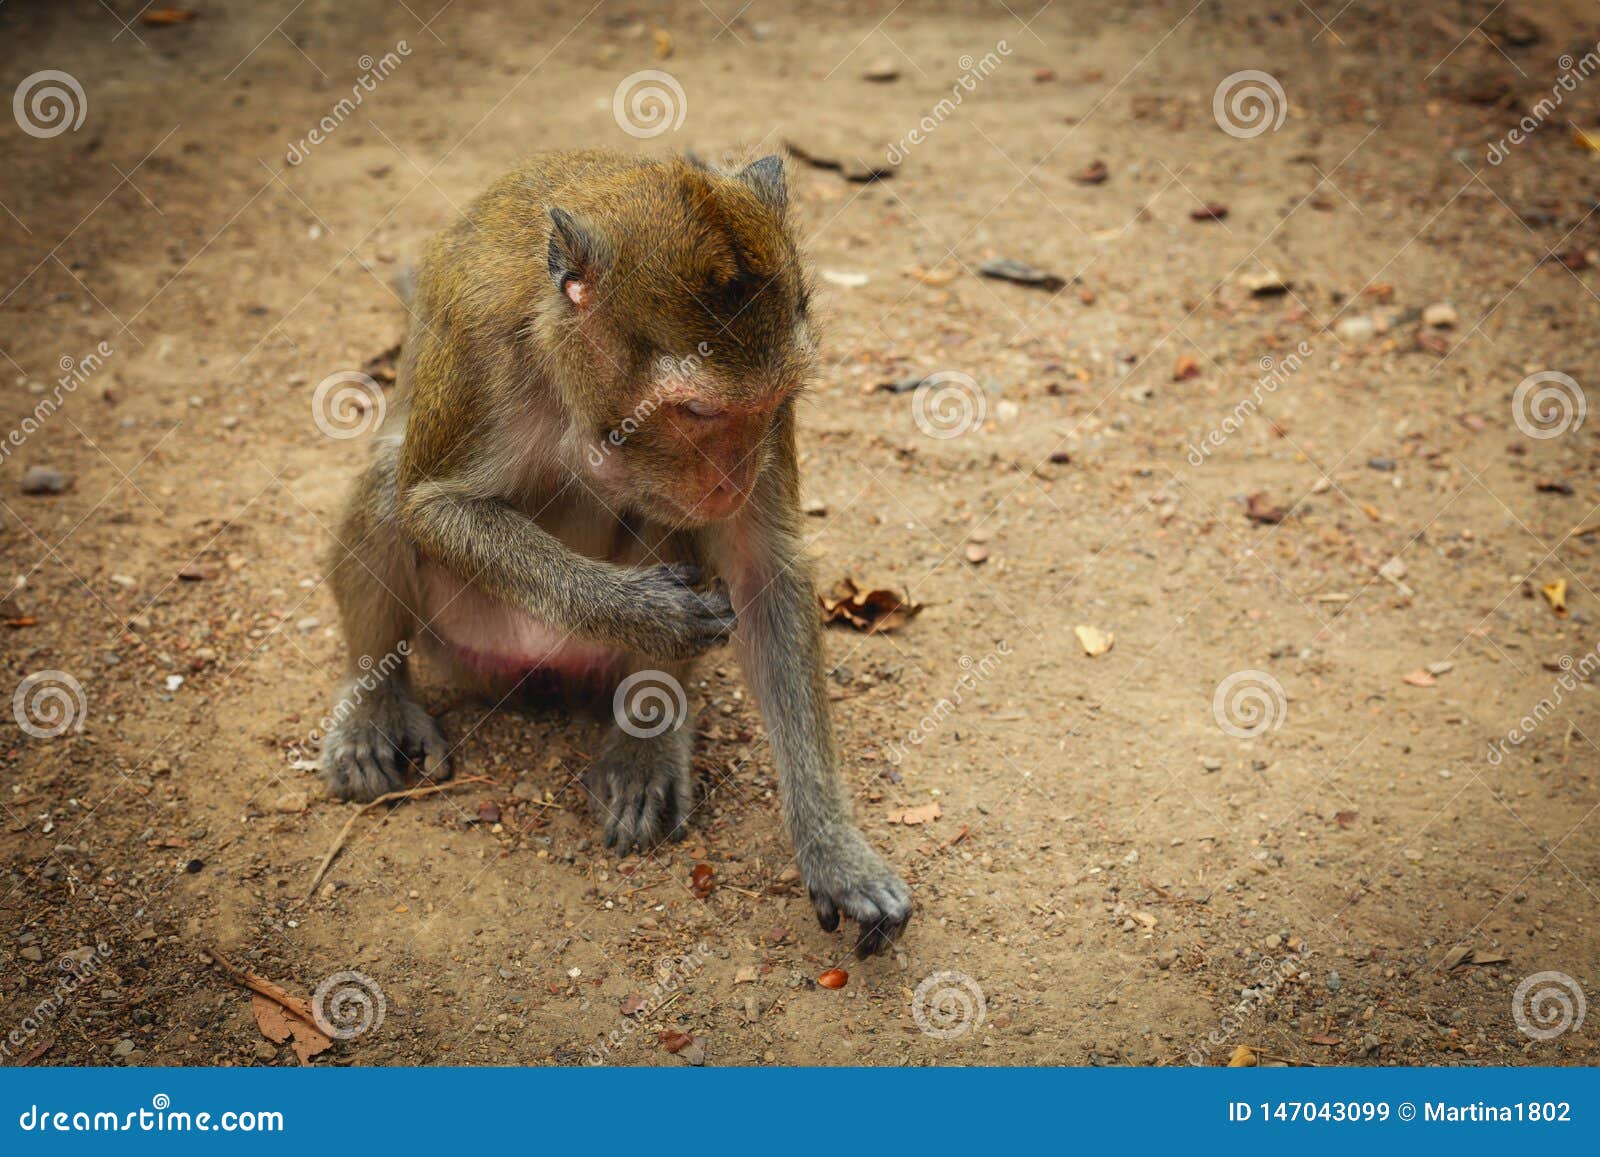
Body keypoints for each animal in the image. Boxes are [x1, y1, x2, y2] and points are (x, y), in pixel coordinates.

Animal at [316, 149, 911, 955]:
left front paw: (833, 848)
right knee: (386, 483)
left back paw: (646, 735)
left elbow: (763, 568)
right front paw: (642, 611)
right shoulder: (481, 350)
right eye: (698, 411)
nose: (734, 477)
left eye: (769, 404)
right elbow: (431, 505)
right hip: (462, 637)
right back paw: (374, 702)